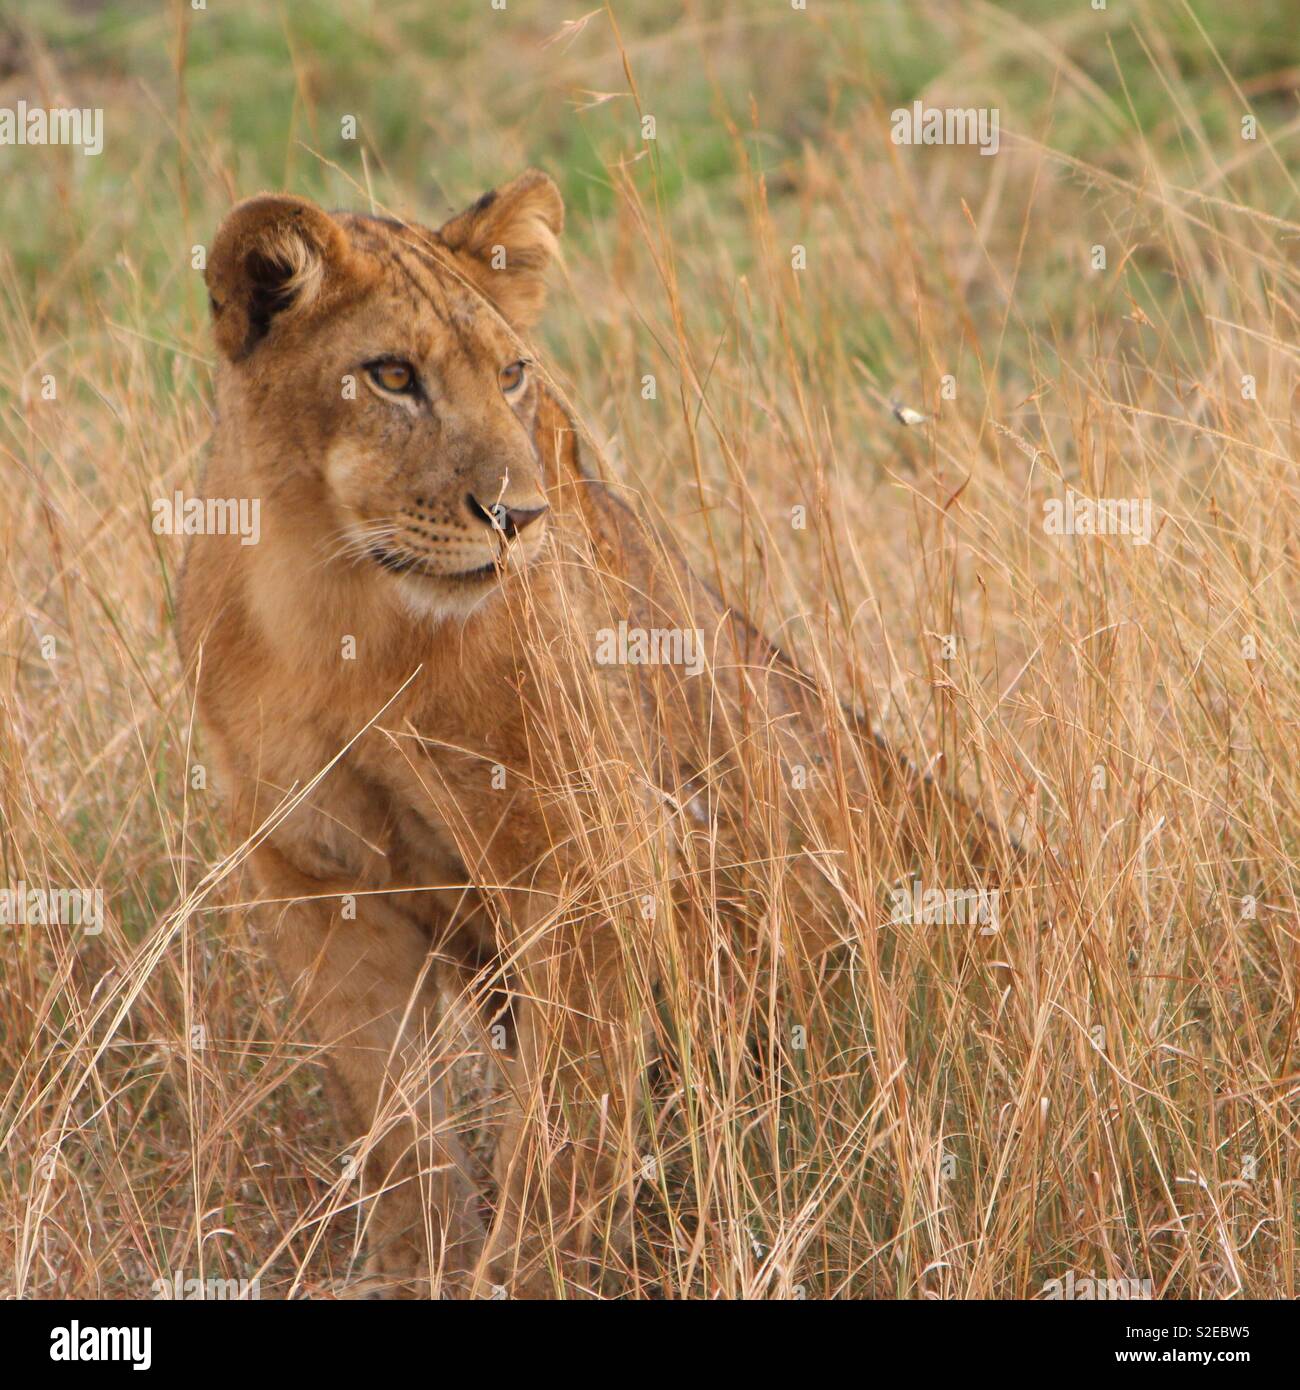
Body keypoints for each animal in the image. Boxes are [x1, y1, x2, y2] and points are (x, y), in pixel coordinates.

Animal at [178, 169, 1010, 1298]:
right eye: (390, 376)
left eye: (511, 374)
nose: (516, 517)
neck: (329, 606)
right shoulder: (317, 880)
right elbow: (397, 1131)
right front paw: (419, 1269)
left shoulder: (593, 867)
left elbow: (560, 1138)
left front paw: (522, 1277)